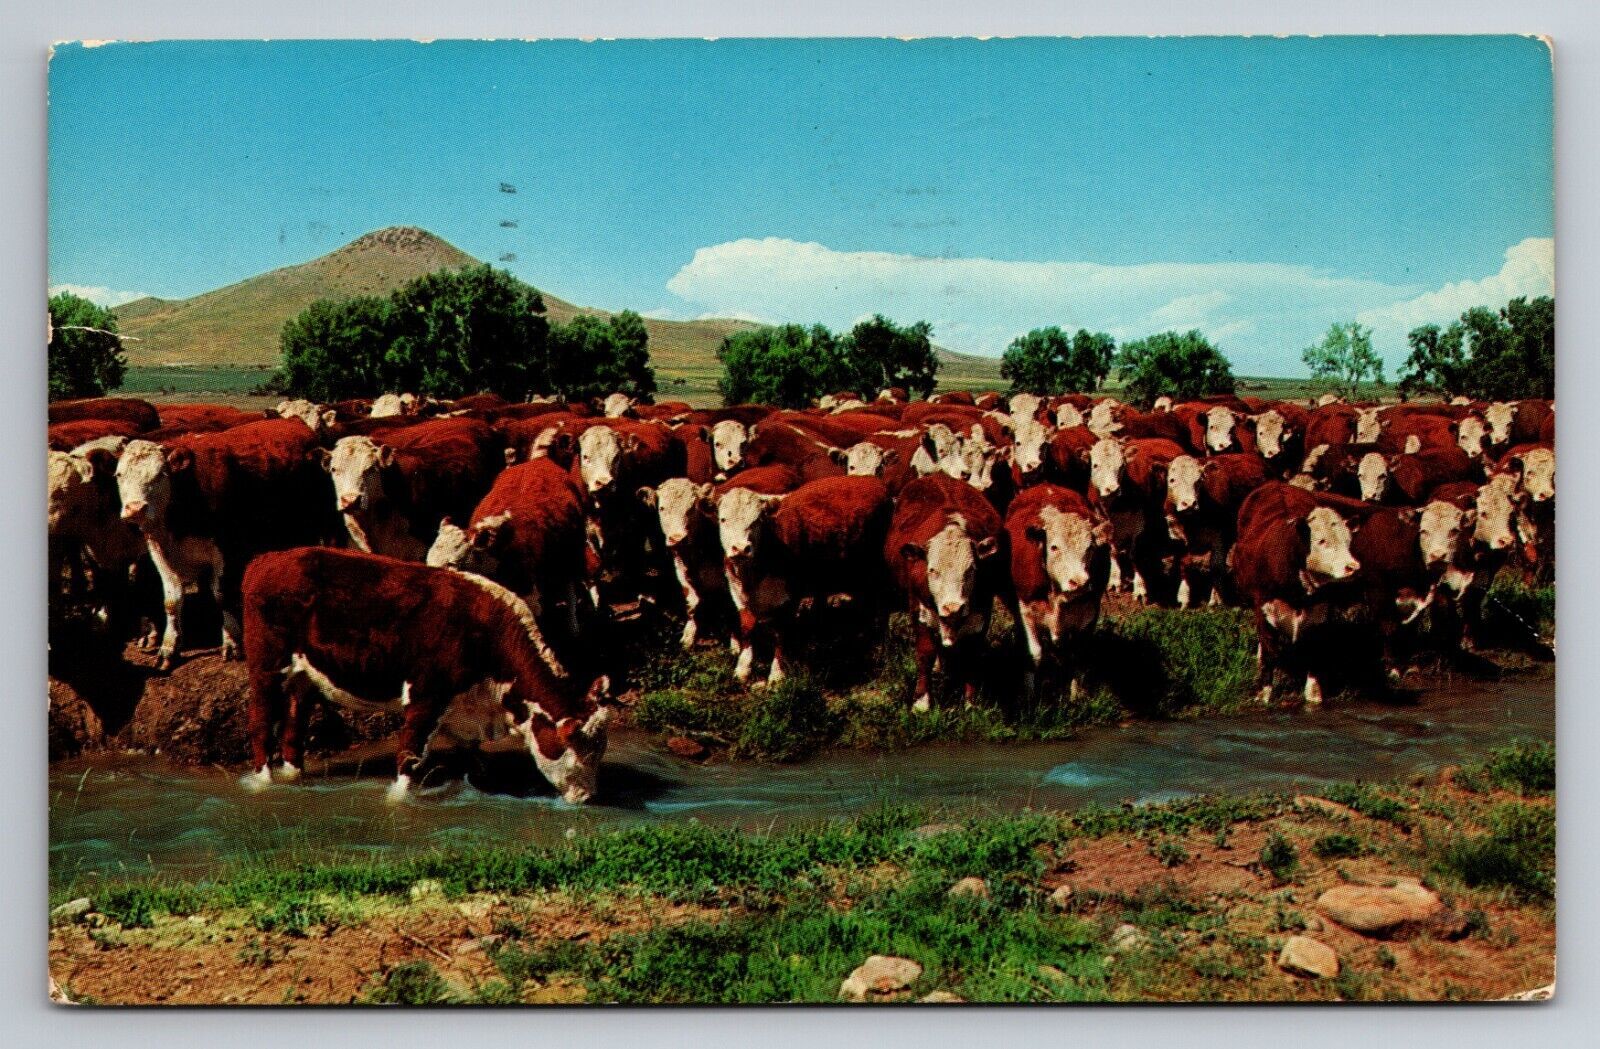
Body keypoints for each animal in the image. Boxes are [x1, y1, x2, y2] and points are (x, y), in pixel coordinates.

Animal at [115, 418, 333, 669]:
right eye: (119, 475)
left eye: (160, 474)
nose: (135, 509)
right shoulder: (159, 551)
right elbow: (171, 602)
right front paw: (169, 648)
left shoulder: (225, 550)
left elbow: (222, 595)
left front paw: (231, 642)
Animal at [240, 548, 612, 804]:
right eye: (577, 748)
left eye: (600, 749)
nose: (589, 797)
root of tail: (266, 559)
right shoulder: (426, 695)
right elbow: (410, 757)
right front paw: (398, 801)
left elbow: (473, 758)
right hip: (266, 667)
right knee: (260, 725)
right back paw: (262, 782)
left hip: (304, 678)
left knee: (293, 729)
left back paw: (294, 777)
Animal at [886, 474, 1006, 712]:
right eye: (932, 570)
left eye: (971, 569)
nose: (953, 607)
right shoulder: (919, 610)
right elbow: (925, 654)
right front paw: (922, 702)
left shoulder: (982, 612)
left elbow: (972, 655)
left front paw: (971, 702)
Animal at [1004, 484, 1110, 698]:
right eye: (1054, 547)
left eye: (1090, 548)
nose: (1079, 582)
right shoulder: (1025, 611)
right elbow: (1034, 653)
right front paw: (1030, 696)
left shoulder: (1090, 613)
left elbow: (1078, 655)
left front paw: (1076, 695)